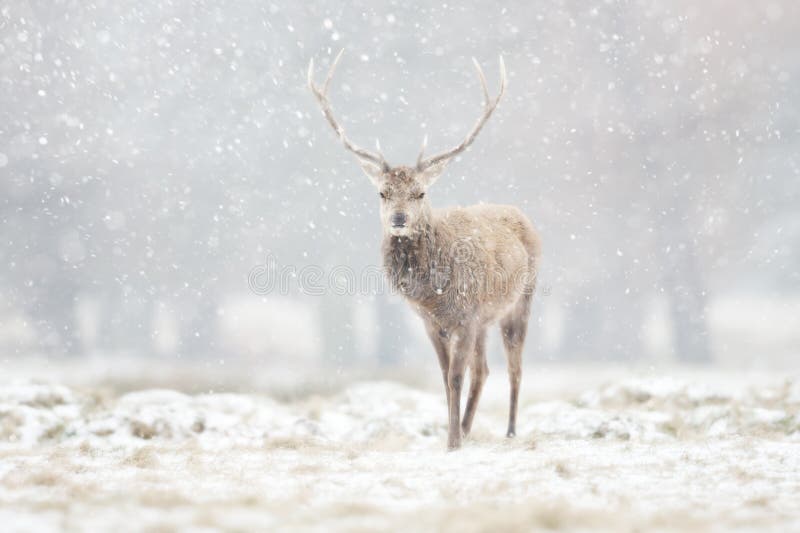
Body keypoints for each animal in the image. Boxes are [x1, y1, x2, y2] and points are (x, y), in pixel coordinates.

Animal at [308, 50, 541, 450]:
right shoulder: (432, 323)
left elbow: (455, 377)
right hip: (485, 321)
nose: (399, 218)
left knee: (514, 366)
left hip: (520, 301)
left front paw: (453, 443)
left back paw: (510, 430)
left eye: (420, 192)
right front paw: (452, 436)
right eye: (382, 192)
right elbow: (445, 377)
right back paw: (468, 426)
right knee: (484, 369)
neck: (433, 292)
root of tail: (520, 213)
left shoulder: (465, 316)